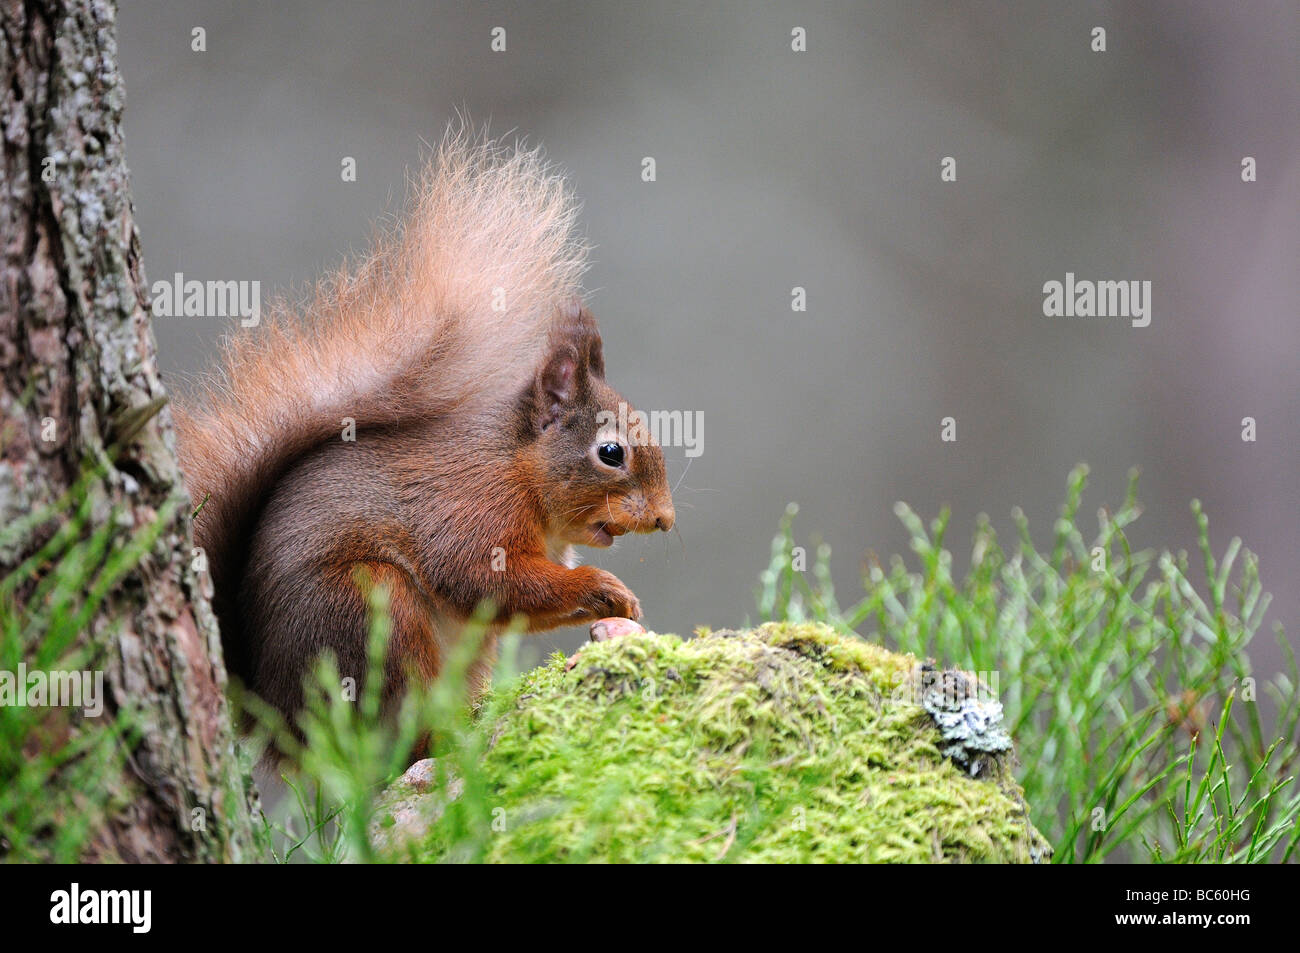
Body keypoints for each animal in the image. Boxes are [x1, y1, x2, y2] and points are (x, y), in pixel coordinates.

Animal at [173, 129, 675, 725]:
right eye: (611, 453)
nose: (666, 520)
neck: (518, 468)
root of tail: (273, 708)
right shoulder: (471, 509)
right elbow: (488, 579)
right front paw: (602, 588)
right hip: (368, 605)